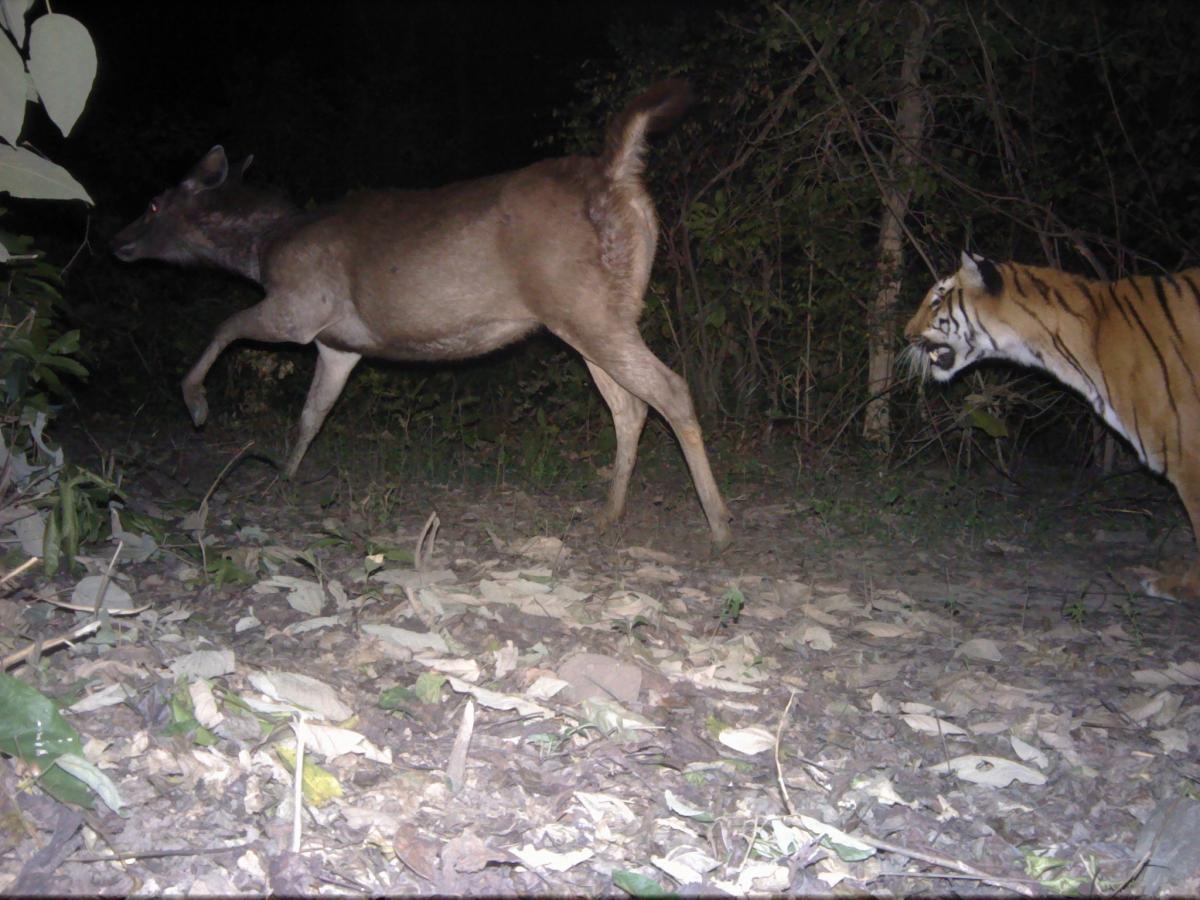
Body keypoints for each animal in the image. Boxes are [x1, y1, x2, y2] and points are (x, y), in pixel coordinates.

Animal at [111, 81, 733, 551]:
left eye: (154, 202)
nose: (118, 242)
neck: (261, 249)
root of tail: (618, 174)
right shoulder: (339, 345)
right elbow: (312, 413)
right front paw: (284, 475)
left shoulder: (299, 308)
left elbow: (223, 327)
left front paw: (196, 403)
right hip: (592, 312)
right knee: (630, 407)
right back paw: (610, 512)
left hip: (586, 307)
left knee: (671, 390)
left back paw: (718, 523)